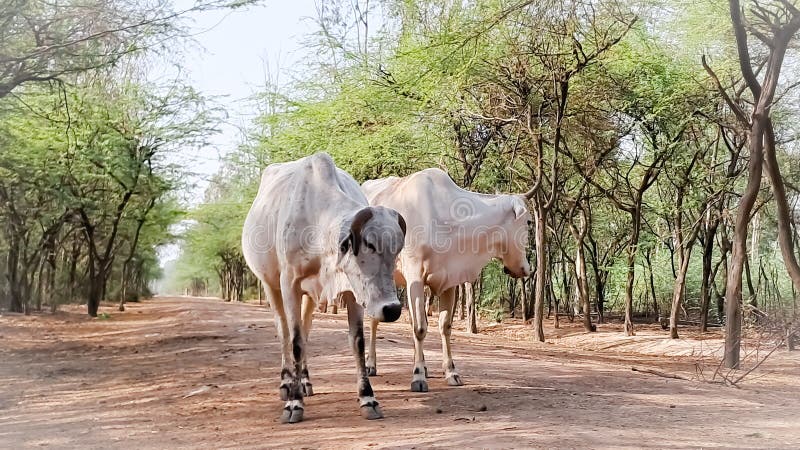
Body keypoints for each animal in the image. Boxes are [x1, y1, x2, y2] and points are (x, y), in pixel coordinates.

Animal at [242, 153, 406, 423]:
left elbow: (357, 341)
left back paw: (304, 380)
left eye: (397, 249)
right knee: (284, 331)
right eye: (369, 244)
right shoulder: (289, 285)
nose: (392, 309)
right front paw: (294, 403)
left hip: (309, 296)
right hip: (270, 284)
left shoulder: (351, 290)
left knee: (306, 330)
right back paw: (287, 382)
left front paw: (367, 398)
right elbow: (295, 341)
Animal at [362, 168, 531, 392]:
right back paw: (371, 365)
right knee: (374, 319)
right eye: (529, 222)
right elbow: (420, 328)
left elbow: (444, 327)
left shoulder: (449, 280)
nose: (525, 269)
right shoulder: (415, 277)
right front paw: (418, 377)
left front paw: (451, 372)